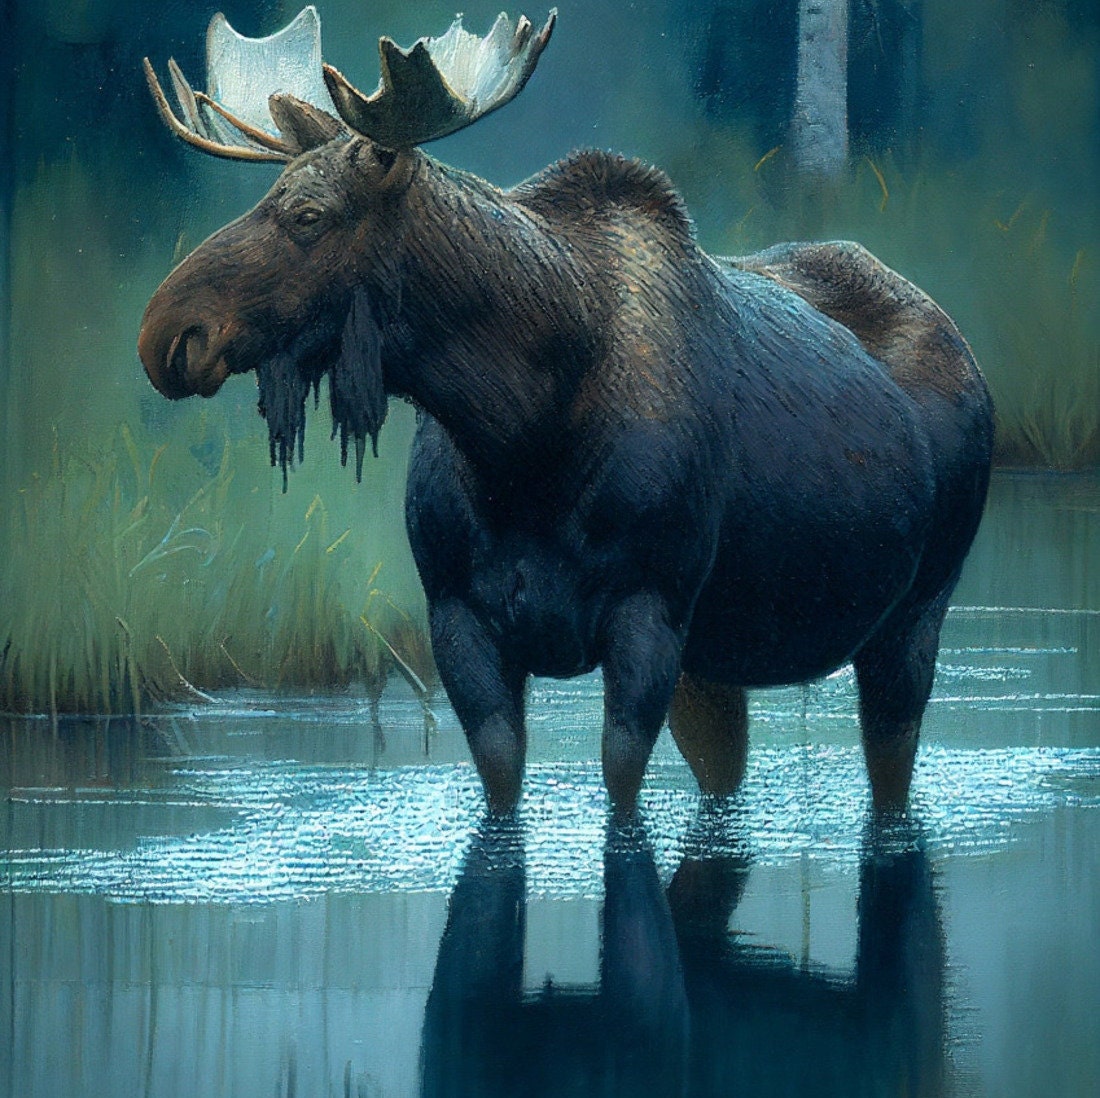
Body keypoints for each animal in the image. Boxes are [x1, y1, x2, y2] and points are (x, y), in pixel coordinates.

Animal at [138, 7, 994, 818]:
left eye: (309, 215)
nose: (165, 334)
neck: (520, 438)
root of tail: (965, 349)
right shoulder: (459, 616)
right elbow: (501, 788)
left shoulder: (647, 611)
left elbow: (621, 790)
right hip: (719, 655)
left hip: (915, 614)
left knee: (891, 773)